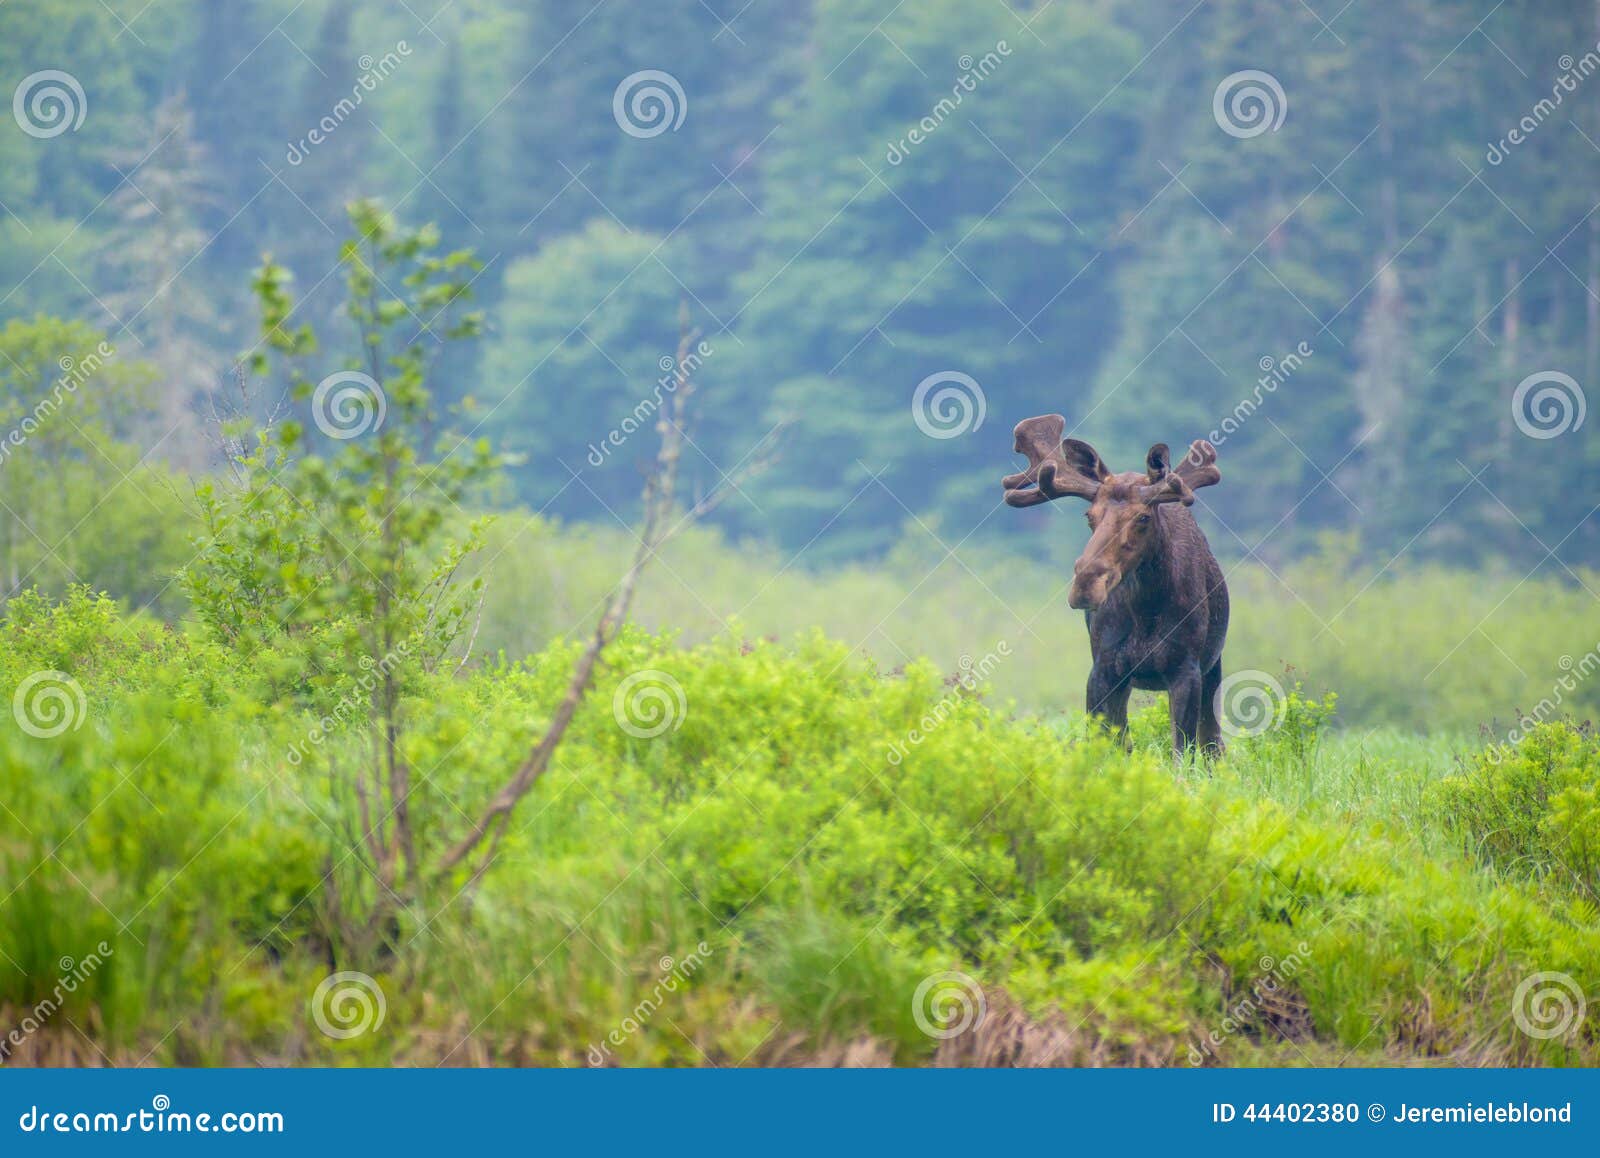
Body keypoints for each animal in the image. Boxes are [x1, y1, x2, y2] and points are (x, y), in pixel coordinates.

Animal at [1002, 414, 1228, 758]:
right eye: (1089, 515)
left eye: (1143, 517)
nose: (1086, 583)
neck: (1146, 613)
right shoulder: (1104, 670)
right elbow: (1108, 745)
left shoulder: (1186, 669)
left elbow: (1183, 752)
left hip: (1213, 667)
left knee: (1213, 743)